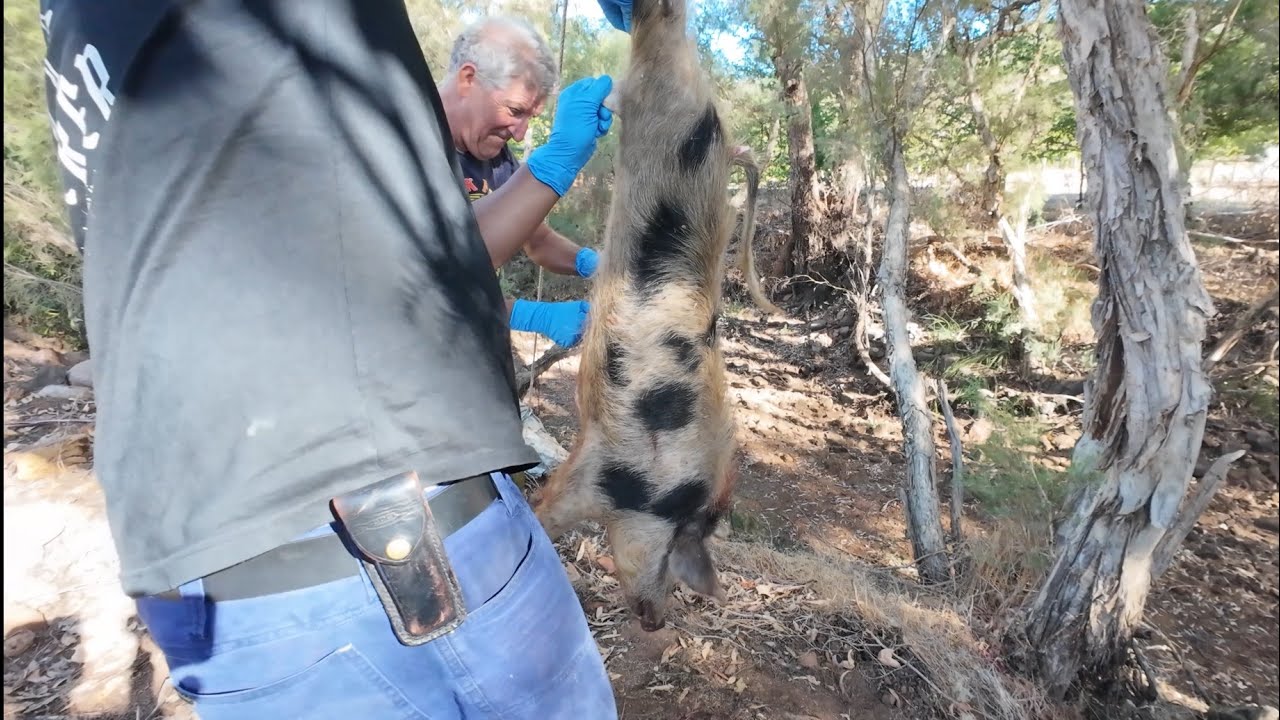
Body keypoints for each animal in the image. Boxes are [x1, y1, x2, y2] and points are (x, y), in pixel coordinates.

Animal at [532, 0, 780, 632]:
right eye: (678, 555)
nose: (657, 620)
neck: (656, 497)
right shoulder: (597, 468)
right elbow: (549, 507)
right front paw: (533, 524)